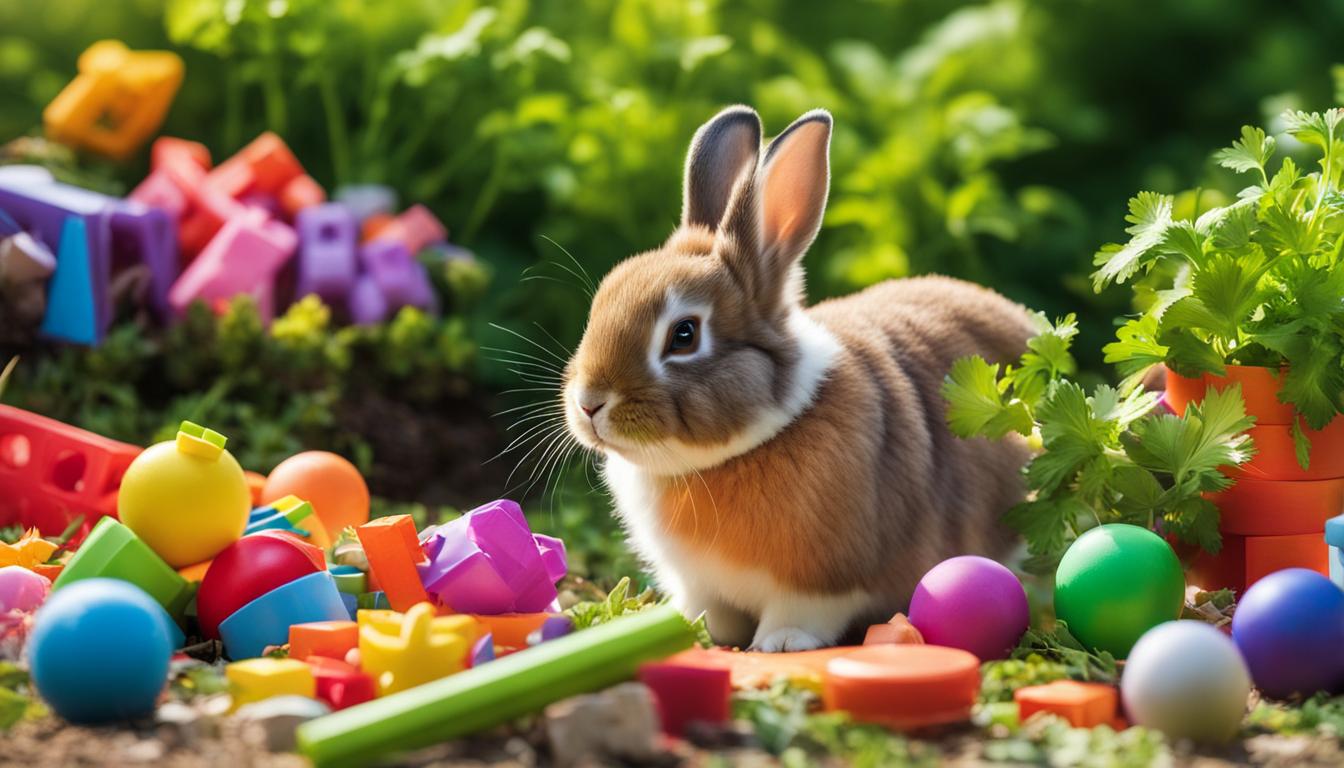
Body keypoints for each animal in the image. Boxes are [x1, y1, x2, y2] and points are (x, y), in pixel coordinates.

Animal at [561, 106, 1037, 651]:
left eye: (683, 335)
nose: (589, 403)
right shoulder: (699, 584)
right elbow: (707, 610)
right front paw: (694, 632)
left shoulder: (823, 580)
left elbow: (801, 612)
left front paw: (780, 644)